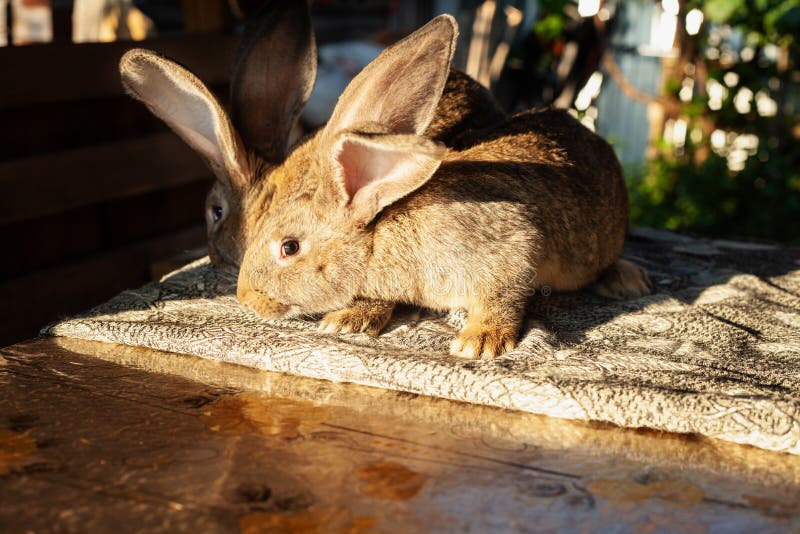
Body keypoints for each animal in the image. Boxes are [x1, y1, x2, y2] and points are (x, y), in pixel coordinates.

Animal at [234, 14, 653, 359]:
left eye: (289, 247)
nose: (244, 298)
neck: (379, 237)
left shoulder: (510, 247)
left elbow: (502, 296)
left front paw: (480, 342)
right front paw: (349, 318)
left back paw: (628, 281)